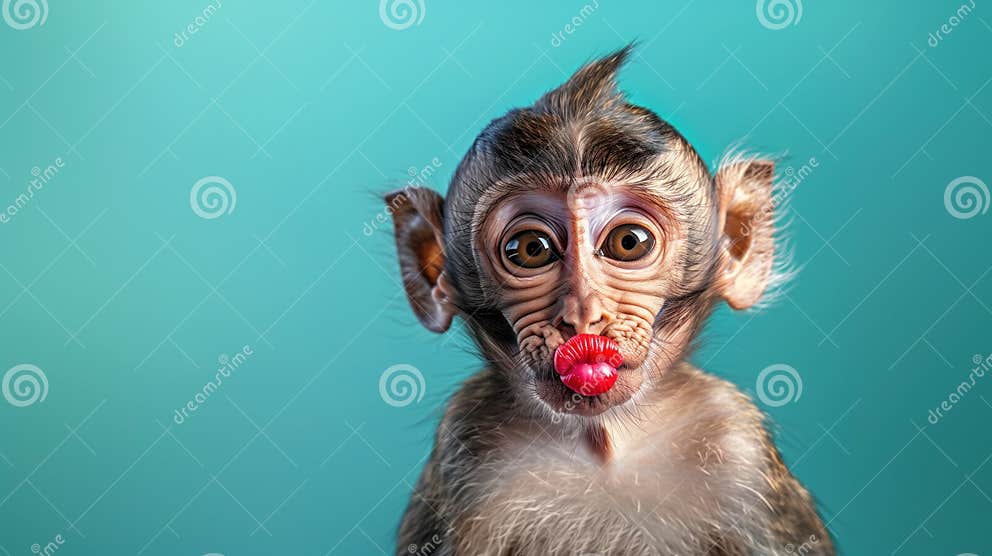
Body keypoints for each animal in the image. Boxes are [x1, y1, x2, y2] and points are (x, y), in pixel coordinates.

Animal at [384, 46, 834, 556]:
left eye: (628, 242)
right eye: (530, 249)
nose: (583, 313)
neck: (603, 444)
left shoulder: (739, 446)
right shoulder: (465, 448)